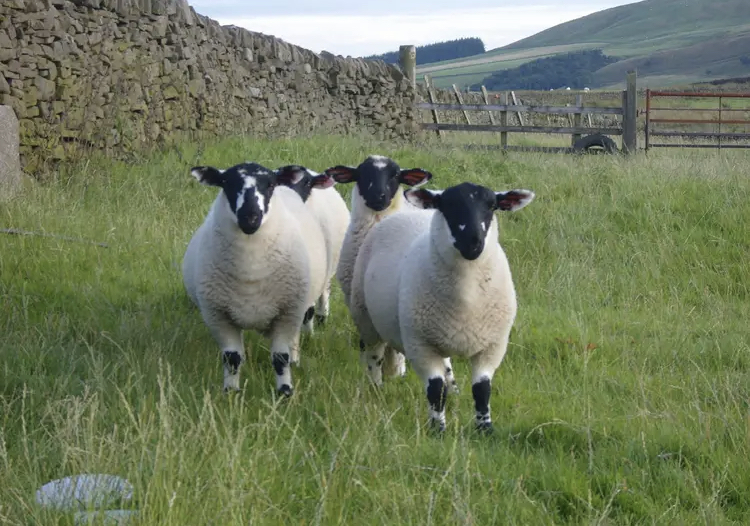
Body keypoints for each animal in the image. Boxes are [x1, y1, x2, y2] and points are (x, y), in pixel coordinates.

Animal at [182, 161, 332, 396]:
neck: (250, 270)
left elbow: (280, 358)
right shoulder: (218, 315)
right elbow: (232, 358)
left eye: (270, 184)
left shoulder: (287, 312)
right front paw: (230, 393)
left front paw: (285, 392)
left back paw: (295, 360)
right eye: (226, 183)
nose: (250, 217)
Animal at [348, 181, 534, 432]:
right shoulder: (421, 346)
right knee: (373, 357)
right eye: (448, 205)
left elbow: (482, 390)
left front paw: (485, 428)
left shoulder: (492, 346)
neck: (467, 299)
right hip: (366, 318)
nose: (473, 241)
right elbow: (436, 390)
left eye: (491, 206)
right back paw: (376, 389)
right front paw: (438, 430)